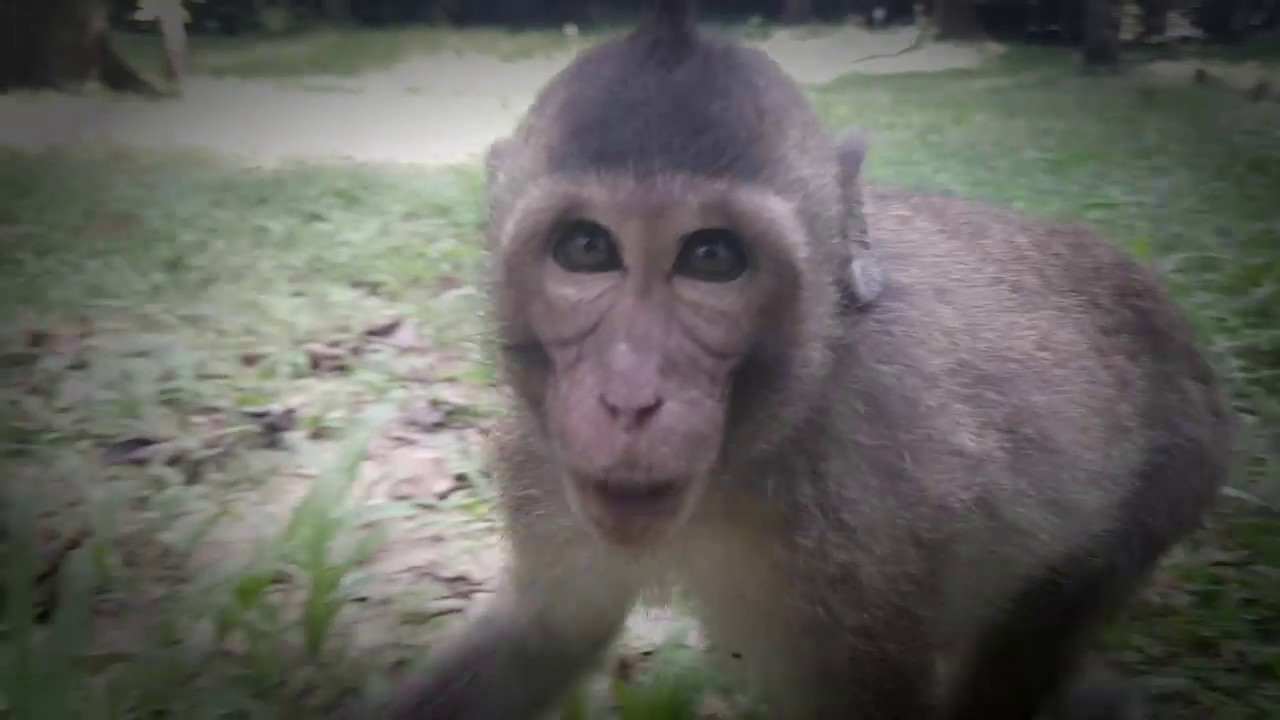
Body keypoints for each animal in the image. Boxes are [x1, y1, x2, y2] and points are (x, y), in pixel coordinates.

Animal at [369, 1, 1235, 718]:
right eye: (586, 249)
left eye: (712, 259)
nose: (629, 398)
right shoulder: (542, 459)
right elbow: (545, 636)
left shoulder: (864, 525)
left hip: (1167, 480)